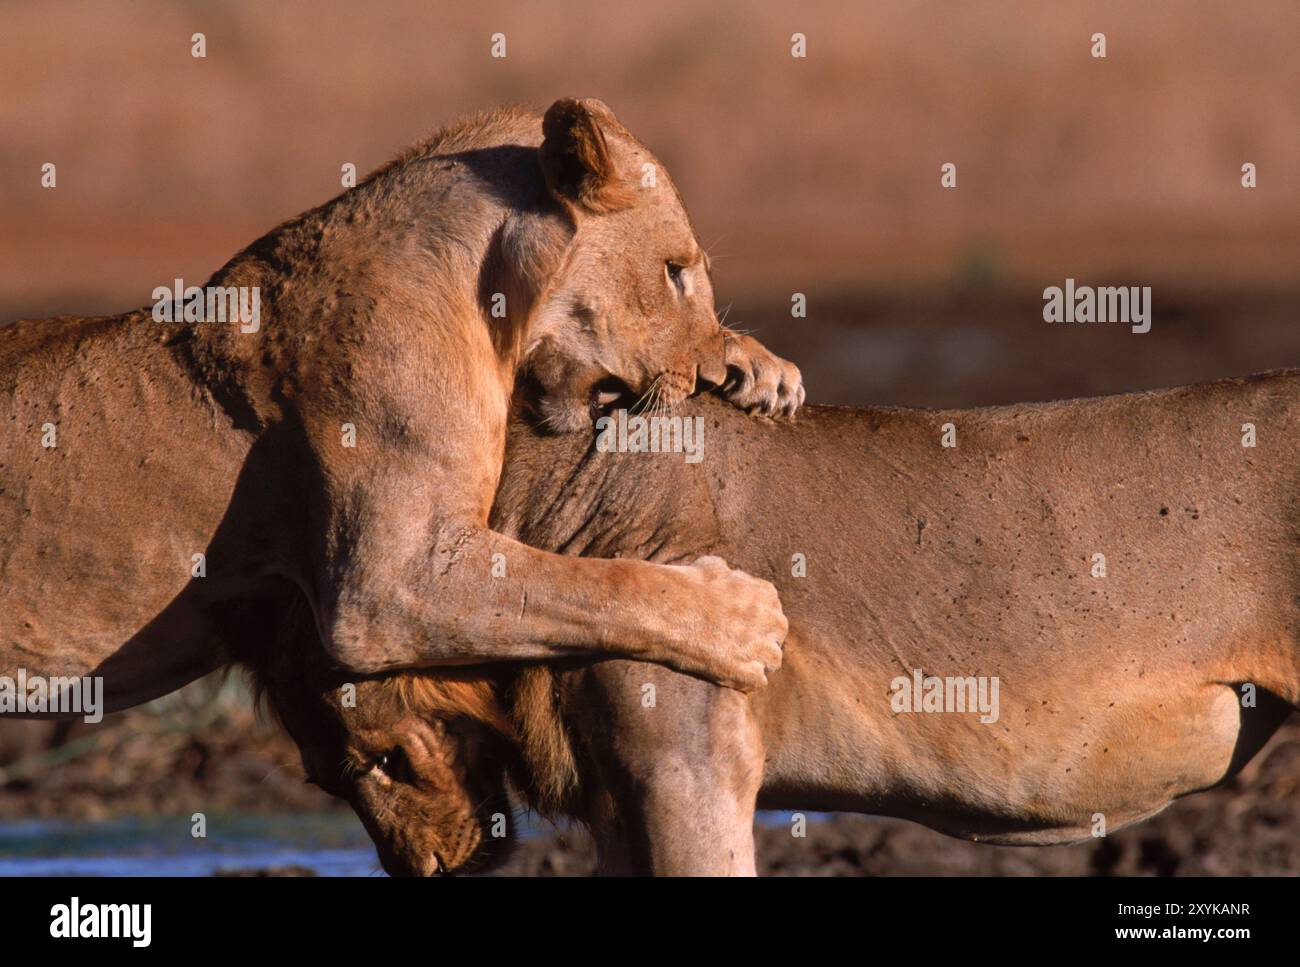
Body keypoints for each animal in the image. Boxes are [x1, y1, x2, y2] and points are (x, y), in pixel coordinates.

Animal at [0, 98, 802, 719]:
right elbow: (594, 584)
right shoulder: (387, 584)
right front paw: (743, 621)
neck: (488, 300)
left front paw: (758, 367)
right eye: (675, 271)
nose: (700, 373)